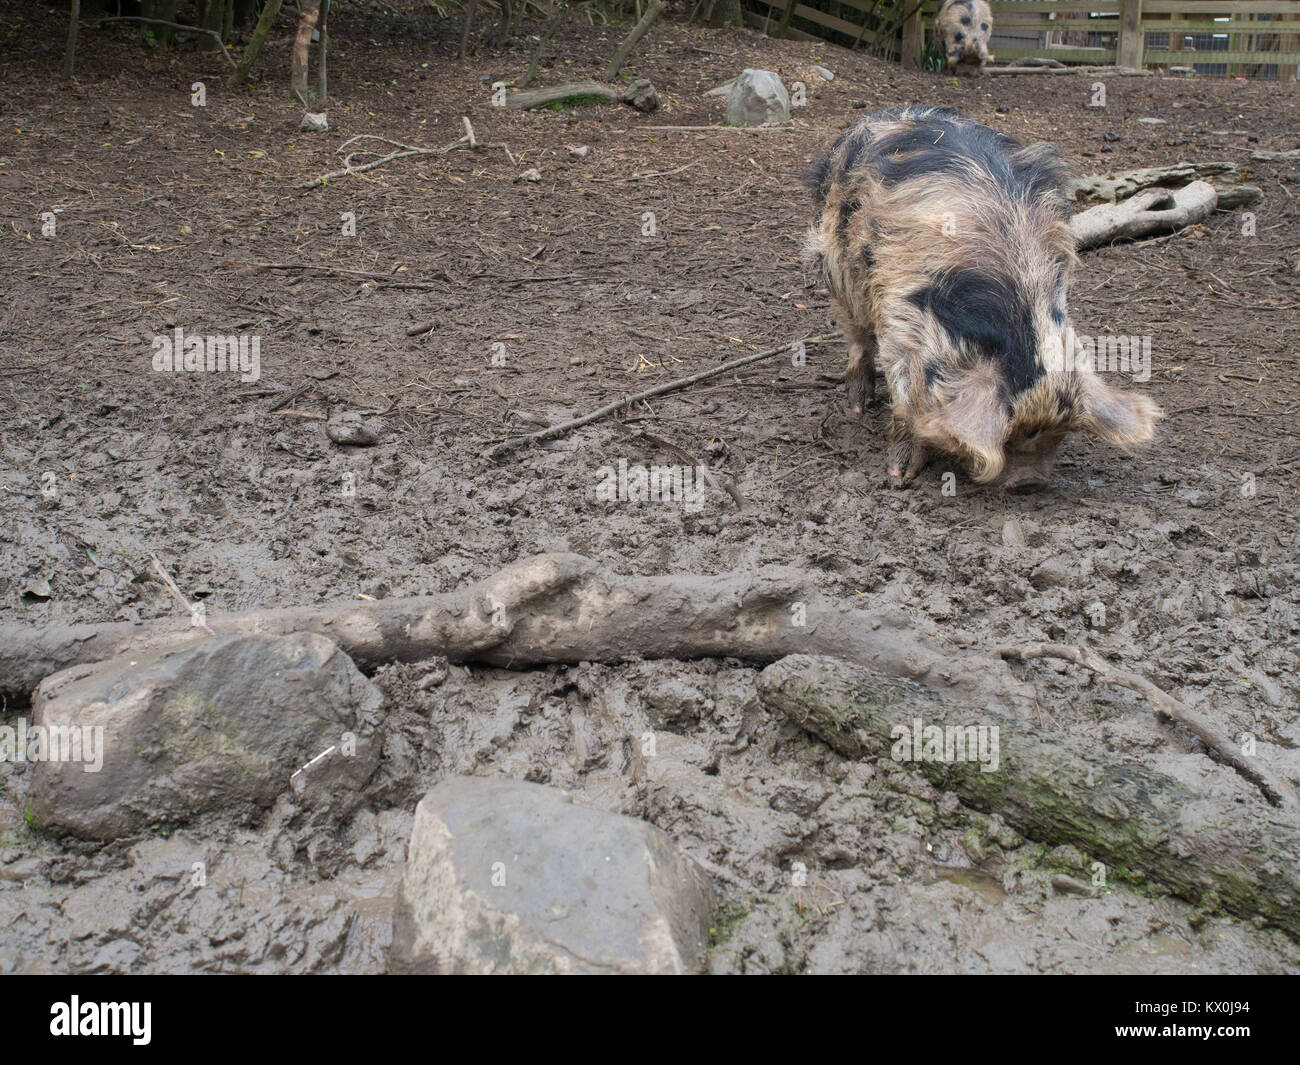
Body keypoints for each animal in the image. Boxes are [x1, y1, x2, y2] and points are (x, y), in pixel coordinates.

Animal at [803, 106, 1161, 492]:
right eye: (1017, 434)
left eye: (1059, 435)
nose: (1029, 483)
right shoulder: (900, 317)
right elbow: (904, 392)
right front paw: (900, 475)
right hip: (836, 261)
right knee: (855, 333)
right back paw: (858, 406)